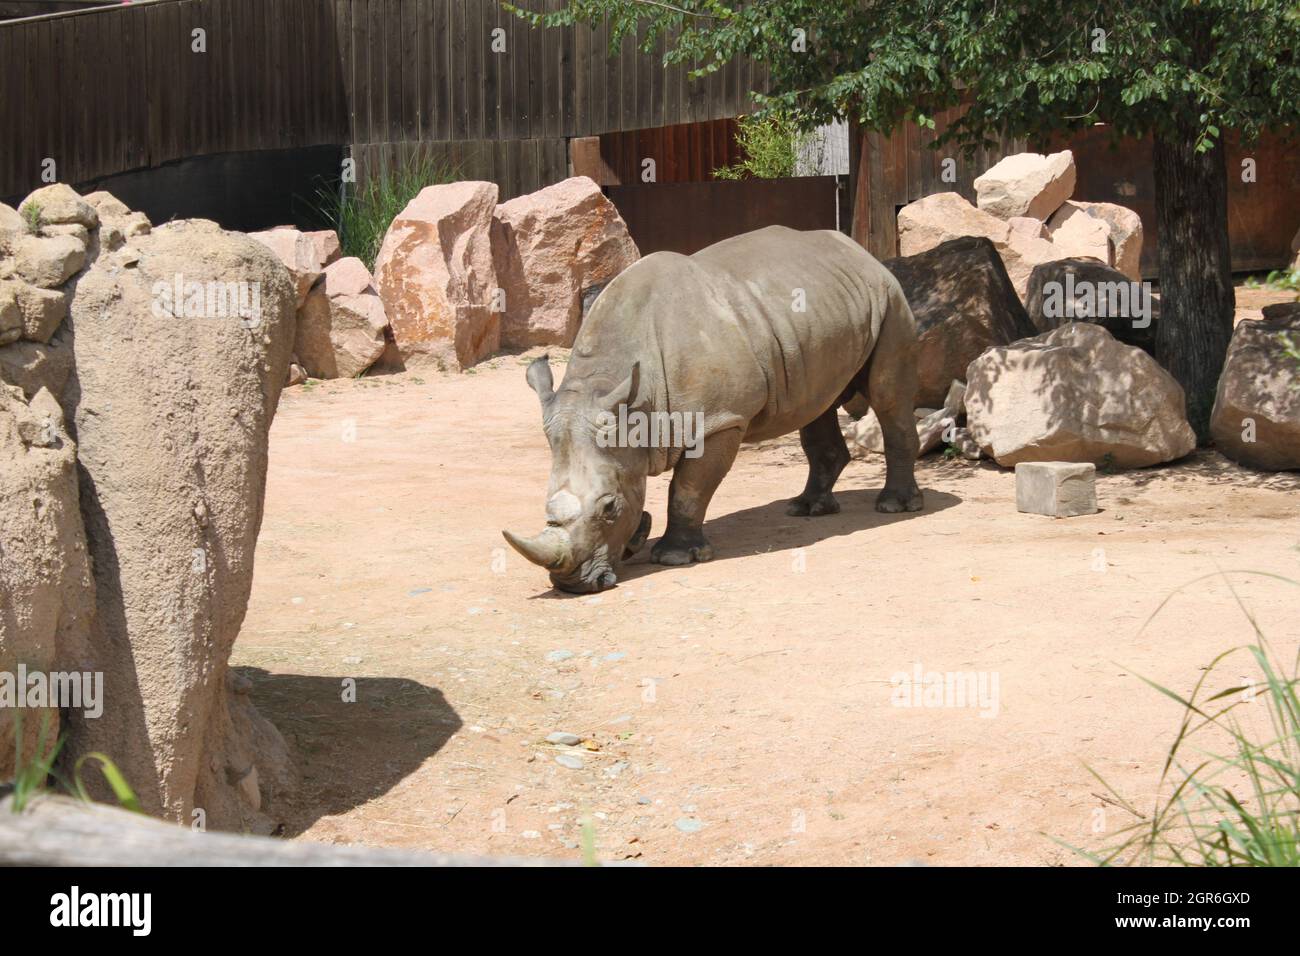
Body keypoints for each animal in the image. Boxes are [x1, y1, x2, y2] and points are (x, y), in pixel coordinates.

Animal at [503, 225, 923, 593]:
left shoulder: (720, 421)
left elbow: (688, 487)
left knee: (888, 394)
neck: (629, 398)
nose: (572, 585)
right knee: (816, 404)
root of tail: (861, 252)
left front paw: (676, 557)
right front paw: (638, 537)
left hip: (890, 297)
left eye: (609, 507)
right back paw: (807, 509)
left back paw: (895, 507)